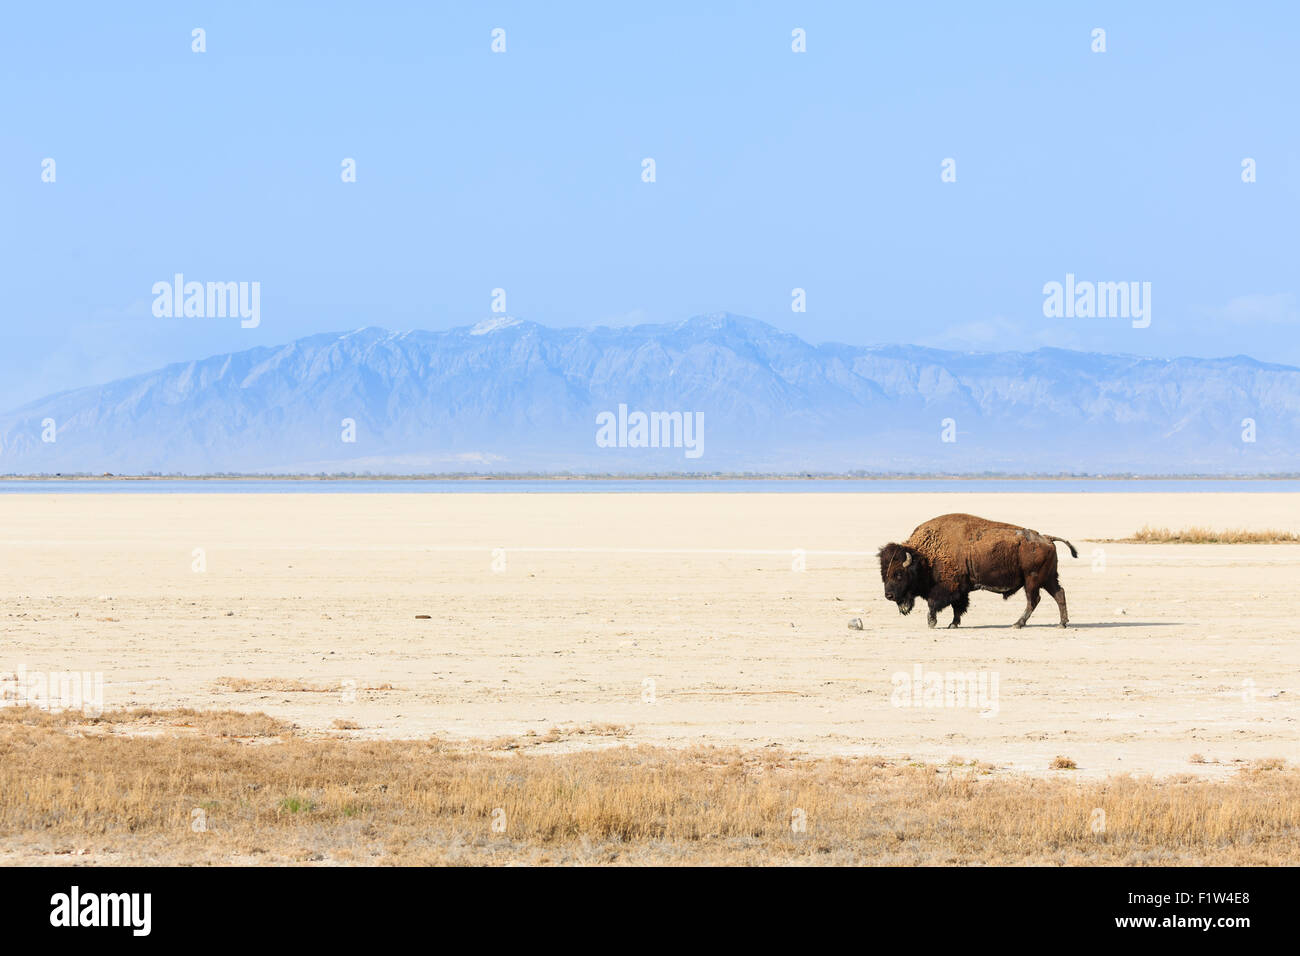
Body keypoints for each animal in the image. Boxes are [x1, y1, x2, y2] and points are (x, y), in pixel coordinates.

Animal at [878, 513, 1077, 629]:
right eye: (884, 574)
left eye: (899, 574)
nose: (889, 595)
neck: (925, 557)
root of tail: (1046, 538)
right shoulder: (960, 590)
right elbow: (958, 607)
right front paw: (953, 624)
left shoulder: (947, 588)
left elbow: (934, 604)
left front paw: (932, 622)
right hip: (1048, 579)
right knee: (1059, 594)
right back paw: (1062, 624)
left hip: (1032, 580)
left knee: (1034, 600)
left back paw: (1017, 624)